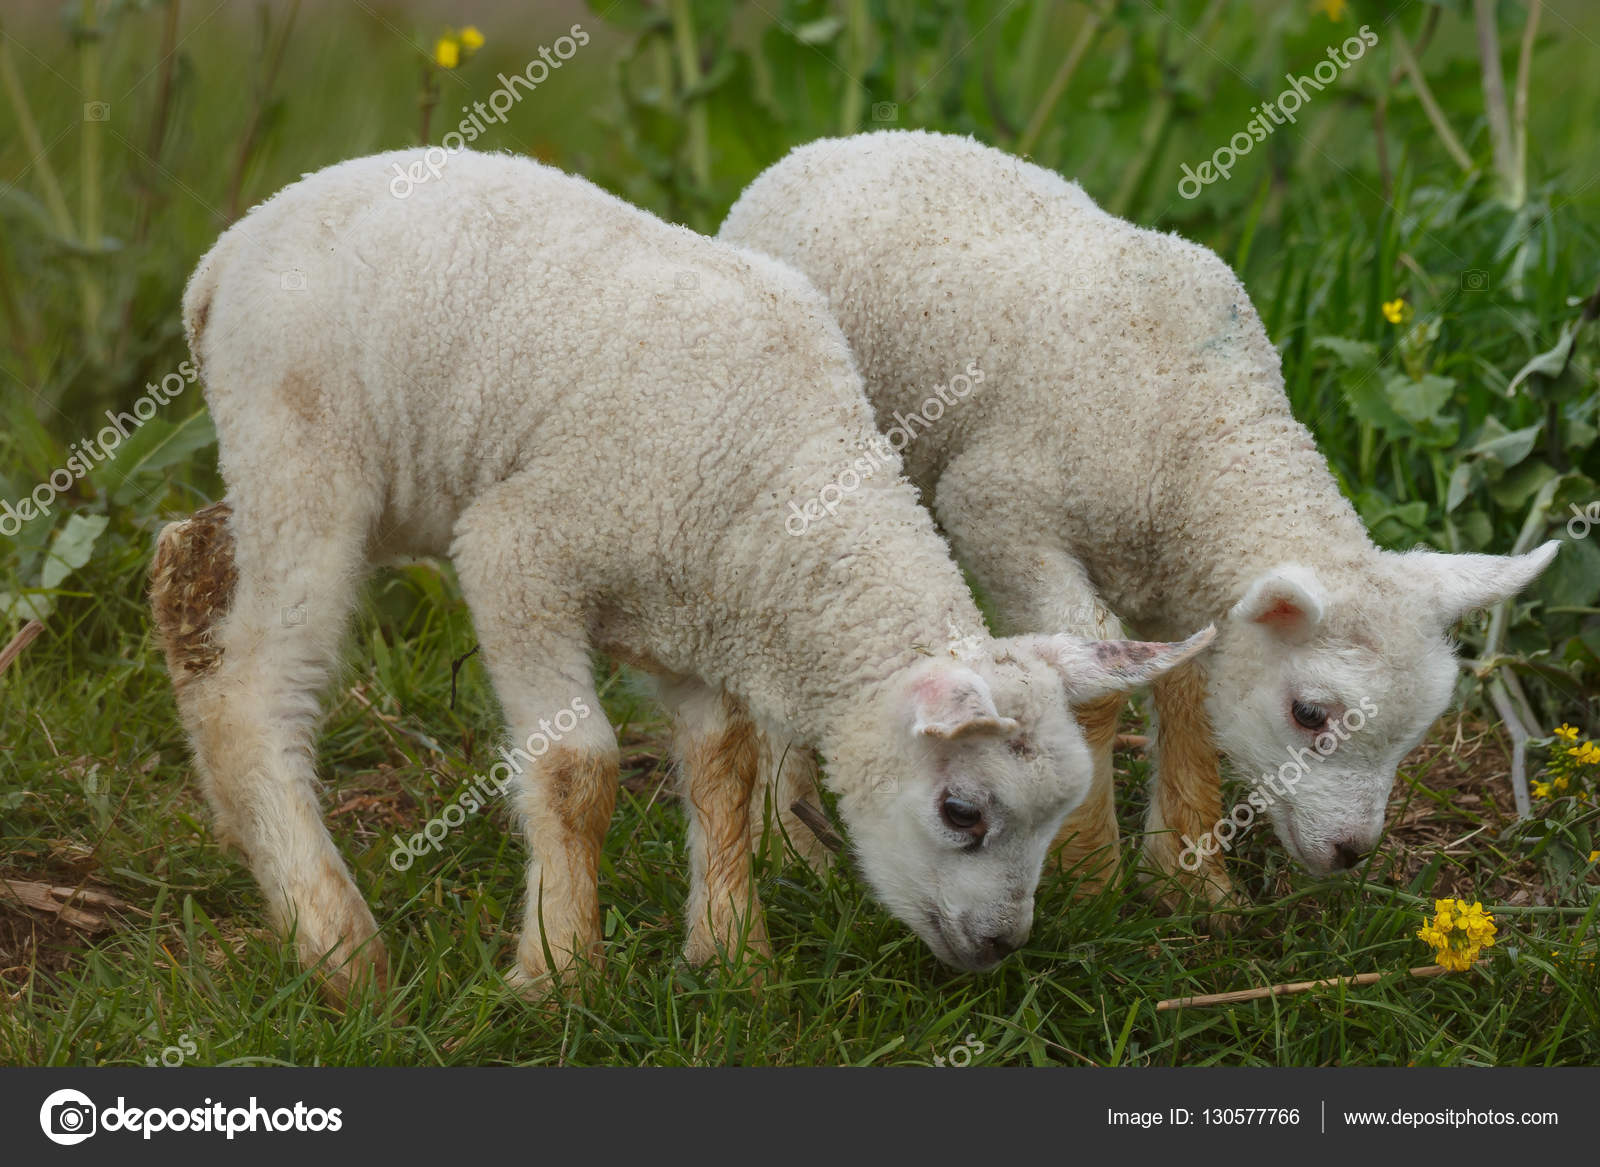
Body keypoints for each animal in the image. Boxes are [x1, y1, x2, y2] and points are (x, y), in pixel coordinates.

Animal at [148, 147, 1214, 999]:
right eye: (963, 811)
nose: (1001, 945)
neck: (785, 496)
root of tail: (222, 256)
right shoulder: (519, 551)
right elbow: (577, 770)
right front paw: (559, 972)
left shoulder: (698, 611)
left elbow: (723, 764)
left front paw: (734, 956)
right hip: (307, 451)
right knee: (254, 695)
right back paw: (339, 949)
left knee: (191, 574)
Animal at [719, 130, 1558, 908]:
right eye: (1310, 712)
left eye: (1419, 726)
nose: (1352, 852)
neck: (1205, 435)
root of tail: (832, 143)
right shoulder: (1001, 513)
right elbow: (1093, 671)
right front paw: (1091, 876)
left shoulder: (1182, 578)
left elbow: (1188, 689)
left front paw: (1190, 878)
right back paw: (790, 840)